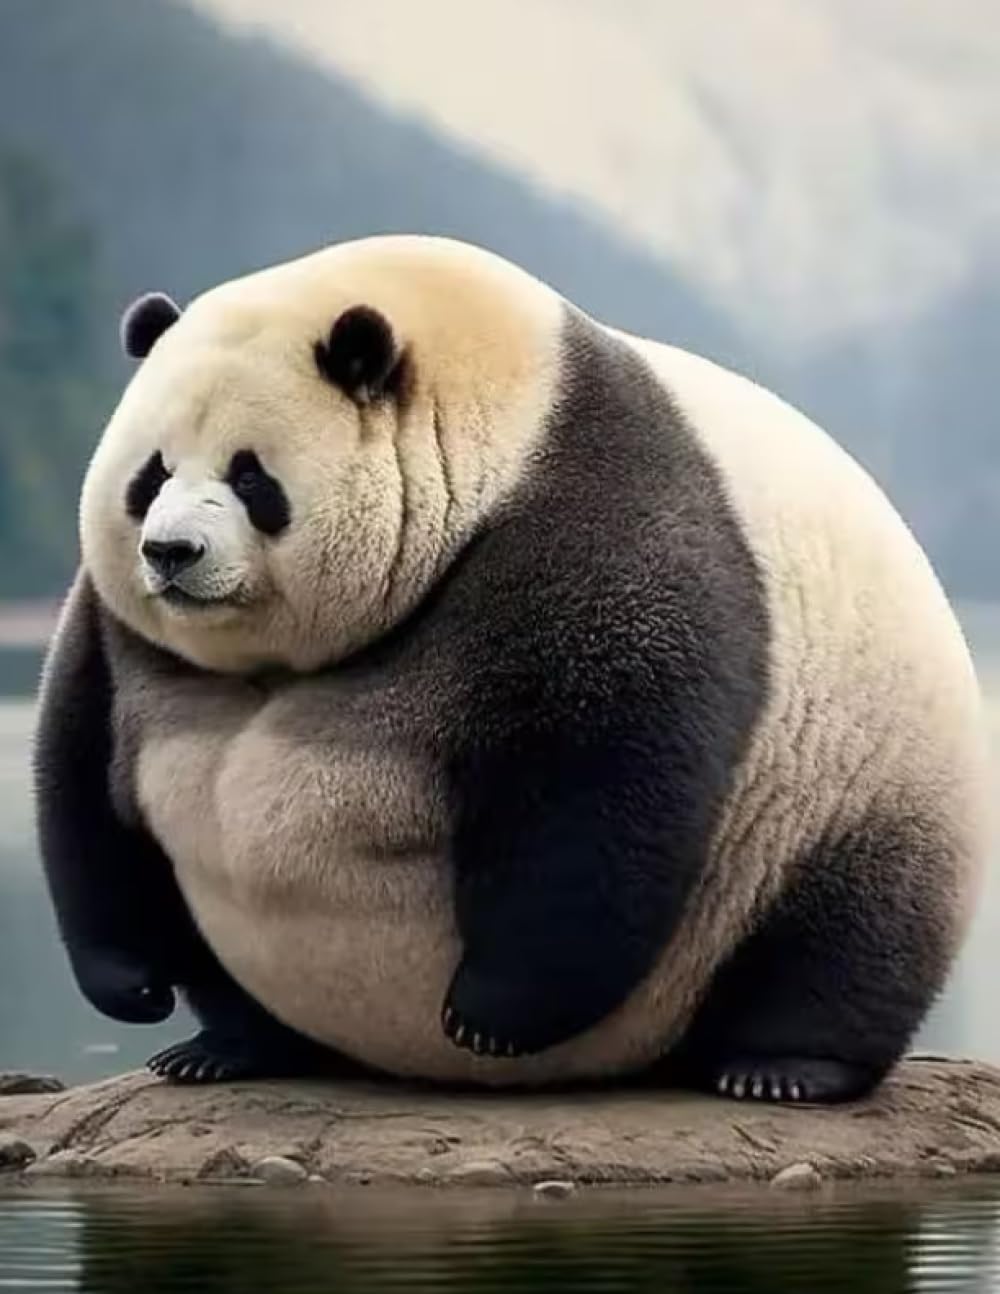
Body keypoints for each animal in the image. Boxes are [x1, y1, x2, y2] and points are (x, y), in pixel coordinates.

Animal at [34, 234, 990, 1103]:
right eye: (149, 476)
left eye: (250, 478)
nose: (171, 554)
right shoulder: (123, 633)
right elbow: (79, 774)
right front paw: (131, 985)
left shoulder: (581, 519)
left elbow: (602, 777)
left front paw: (491, 1014)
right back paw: (226, 1047)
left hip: (851, 790)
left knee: (846, 935)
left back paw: (779, 1068)